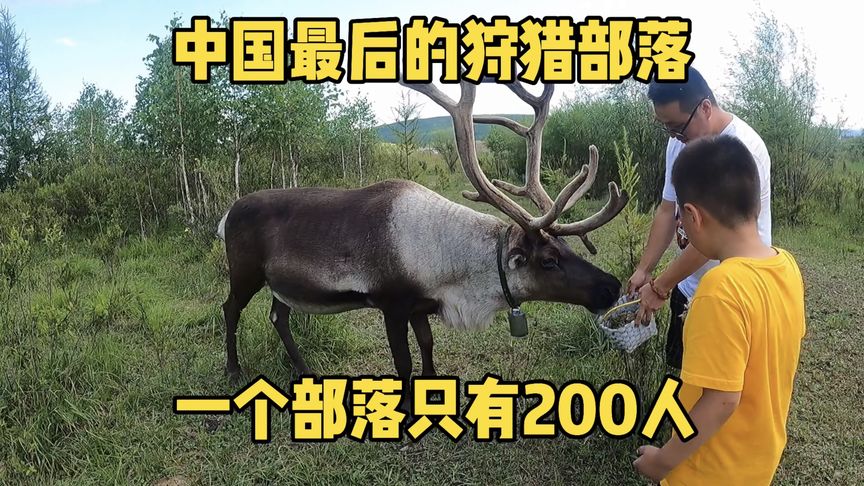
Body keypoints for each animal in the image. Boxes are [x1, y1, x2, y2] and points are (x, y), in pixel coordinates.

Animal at [216, 79, 629, 397]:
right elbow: (404, 363)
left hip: (281, 284)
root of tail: (226, 213)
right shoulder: (392, 304)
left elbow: (428, 349)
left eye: (567, 246)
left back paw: (303, 369)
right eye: (548, 260)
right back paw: (233, 370)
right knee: (230, 308)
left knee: (278, 316)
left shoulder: (420, 306)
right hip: (245, 272)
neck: (451, 272)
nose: (612, 285)